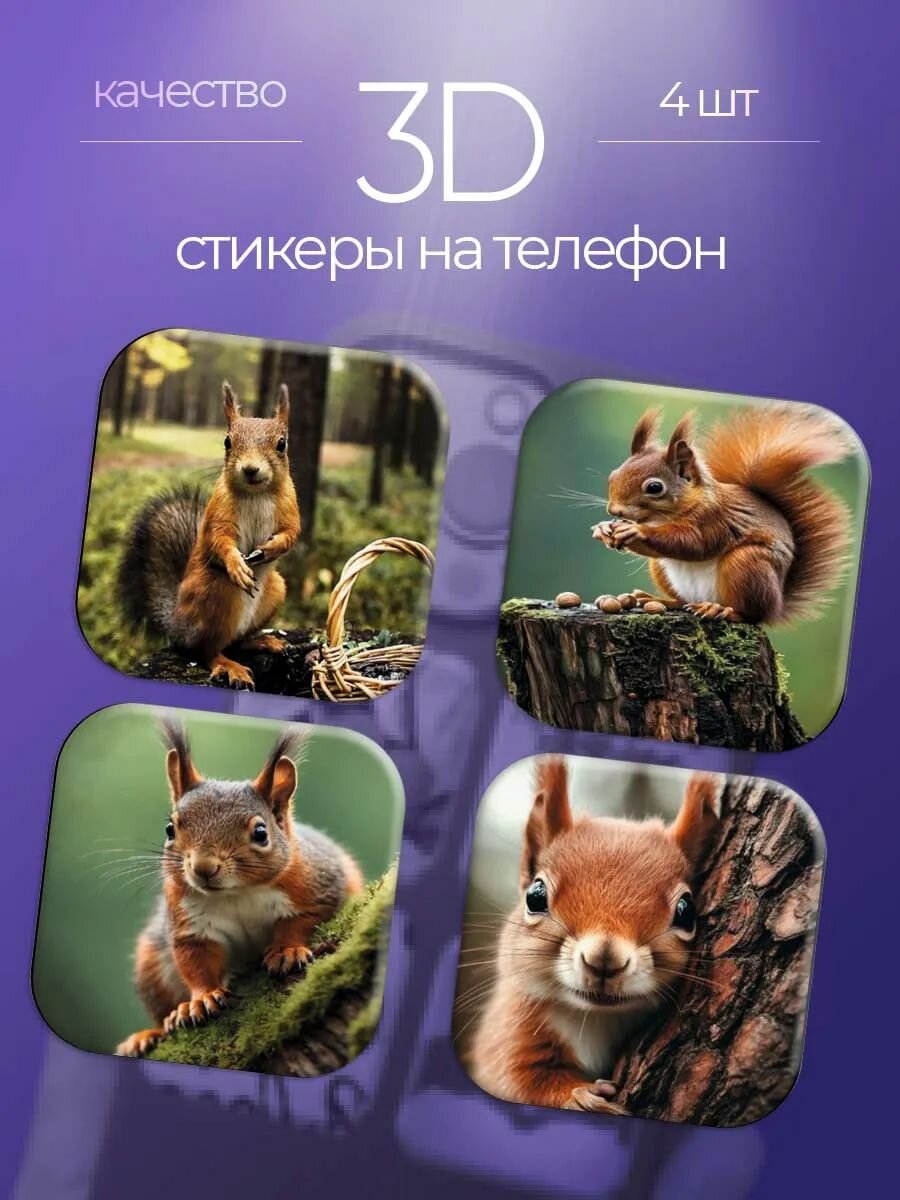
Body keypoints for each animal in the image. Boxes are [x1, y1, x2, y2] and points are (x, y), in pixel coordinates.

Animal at [116, 717, 363, 1058]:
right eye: (169, 829)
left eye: (261, 833)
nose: (204, 868)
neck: (237, 893)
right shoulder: (187, 923)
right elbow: (195, 962)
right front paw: (201, 999)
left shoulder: (321, 886)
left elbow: (301, 921)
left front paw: (287, 950)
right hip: (150, 962)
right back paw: (147, 1034)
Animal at [118, 381, 301, 689]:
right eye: (227, 442)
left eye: (282, 444)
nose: (250, 469)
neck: (256, 493)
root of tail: (177, 626)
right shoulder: (219, 511)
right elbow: (219, 539)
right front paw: (237, 565)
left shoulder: (290, 505)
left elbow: (291, 533)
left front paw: (271, 549)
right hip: (215, 592)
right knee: (206, 651)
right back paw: (228, 665)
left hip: (275, 589)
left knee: (236, 642)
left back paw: (262, 642)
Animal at [467, 758, 720, 1115]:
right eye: (535, 896)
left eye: (686, 911)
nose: (604, 959)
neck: (595, 1018)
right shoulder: (508, 1033)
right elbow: (517, 1080)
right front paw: (581, 1095)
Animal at [591, 403, 854, 623]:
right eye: (613, 476)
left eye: (654, 488)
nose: (614, 509)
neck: (662, 518)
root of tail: (776, 607)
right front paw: (604, 529)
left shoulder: (714, 519)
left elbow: (692, 543)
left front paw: (636, 531)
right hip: (662, 570)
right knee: (683, 601)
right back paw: (658, 600)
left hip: (747, 564)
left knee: (750, 615)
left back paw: (722, 610)